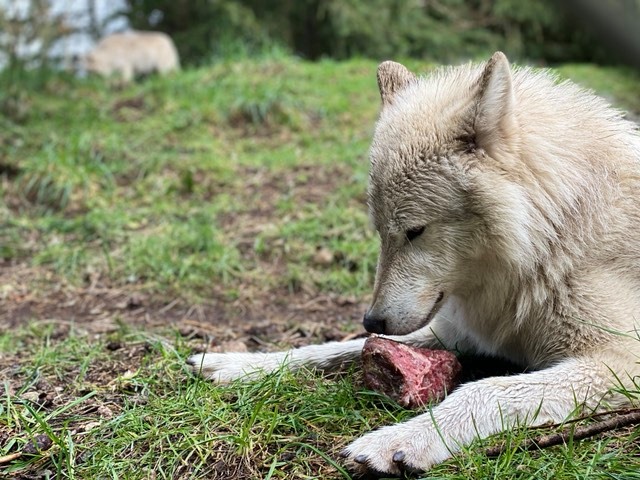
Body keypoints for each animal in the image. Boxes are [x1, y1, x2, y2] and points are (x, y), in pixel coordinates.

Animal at [188, 52, 640, 476]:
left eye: (415, 231)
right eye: (380, 232)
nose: (371, 319)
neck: (551, 238)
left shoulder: (619, 362)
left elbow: (486, 389)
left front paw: (401, 439)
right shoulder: (457, 331)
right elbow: (330, 347)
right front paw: (238, 363)